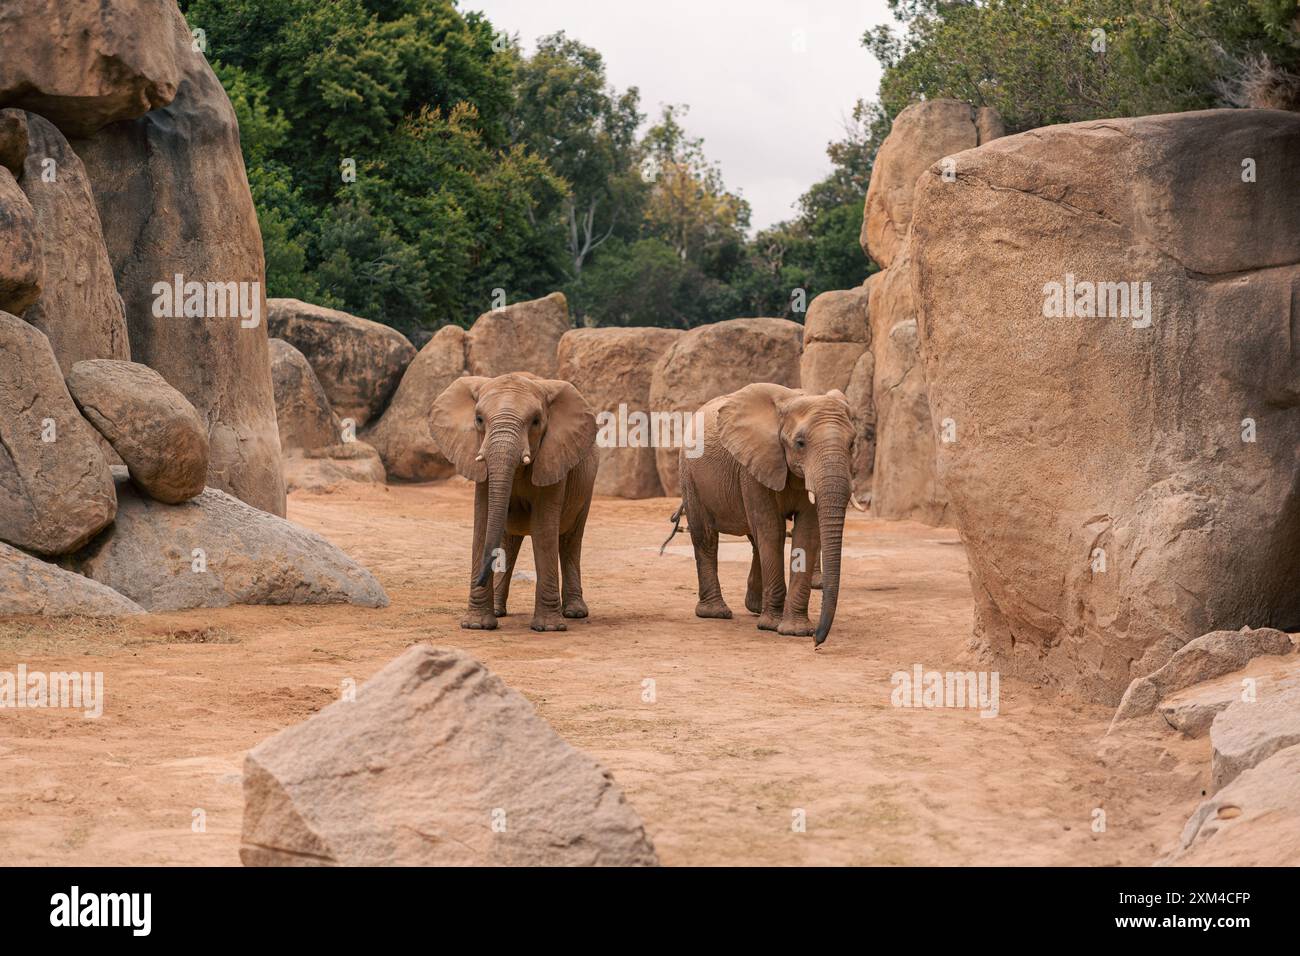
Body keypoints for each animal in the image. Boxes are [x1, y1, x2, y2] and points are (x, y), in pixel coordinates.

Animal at [431, 372, 598, 632]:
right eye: (479, 419)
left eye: (536, 421)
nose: (480, 580)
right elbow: (483, 523)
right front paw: (477, 625)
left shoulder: (553, 458)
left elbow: (544, 529)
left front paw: (548, 628)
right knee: (508, 542)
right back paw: (499, 612)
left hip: (586, 486)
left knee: (570, 540)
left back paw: (574, 613)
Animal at [674, 382, 855, 645]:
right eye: (800, 443)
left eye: (852, 444)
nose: (817, 641)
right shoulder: (752, 467)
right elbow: (772, 530)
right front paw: (772, 626)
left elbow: (807, 534)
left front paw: (795, 630)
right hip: (690, 475)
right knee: (706, 536)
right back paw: (716, 613)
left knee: (755, 540)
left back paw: (755, 608)